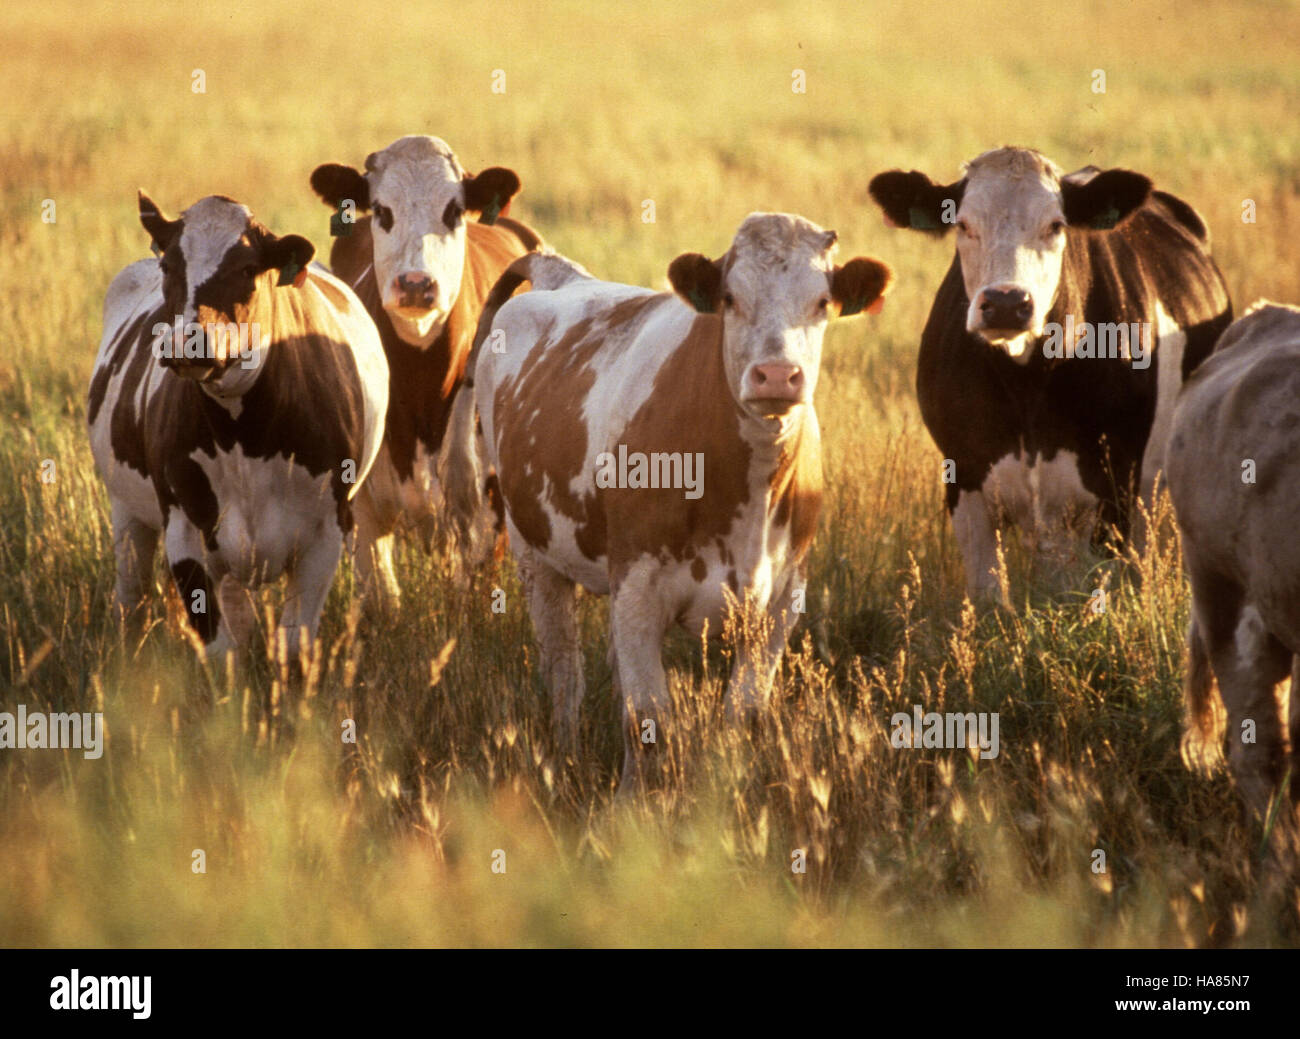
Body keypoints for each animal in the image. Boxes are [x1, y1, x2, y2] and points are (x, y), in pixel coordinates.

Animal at [87, 191, 388, 659]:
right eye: (169, 265)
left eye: (248, 268)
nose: (188, 343)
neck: (243, 435)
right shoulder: (185, 530)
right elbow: (220, 649)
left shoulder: (327, 531)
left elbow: (294, 646)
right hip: (127, 511)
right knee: (131, 597)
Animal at [444, 214, 892, 790]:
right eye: (730, 298)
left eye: (821, 302)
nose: (776, 375)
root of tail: (563, 277)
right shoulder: (638, 587)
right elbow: (646, 720)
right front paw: (631, 803)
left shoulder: (782, 602)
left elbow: (742, 714)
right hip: (534, 553)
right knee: (564, 670)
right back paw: (565, 757)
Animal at [868, 147, 1232, 601]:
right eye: (963, 224)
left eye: (1056, 225)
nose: (1006, 303)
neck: (1025, 383)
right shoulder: (963, 480)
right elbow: (989, 599)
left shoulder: (1114, 488)